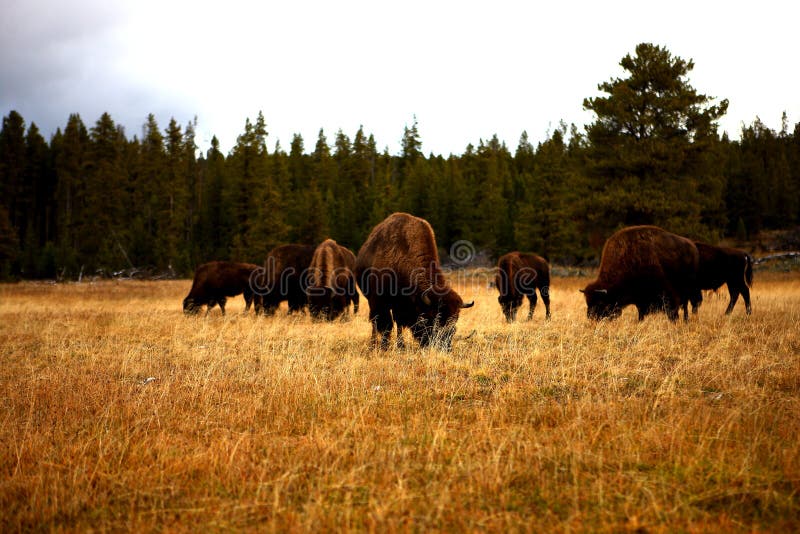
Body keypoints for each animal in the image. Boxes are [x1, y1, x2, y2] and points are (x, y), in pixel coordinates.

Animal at [356, 212, 473, 350]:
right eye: (433, 317)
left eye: (456, 319)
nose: (445, 347)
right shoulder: (380, 301)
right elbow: (385, 324)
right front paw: (384, 346)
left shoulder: (401, 305)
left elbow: (399, 324)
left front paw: (400, 346)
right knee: (375, 322)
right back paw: (373, 344)